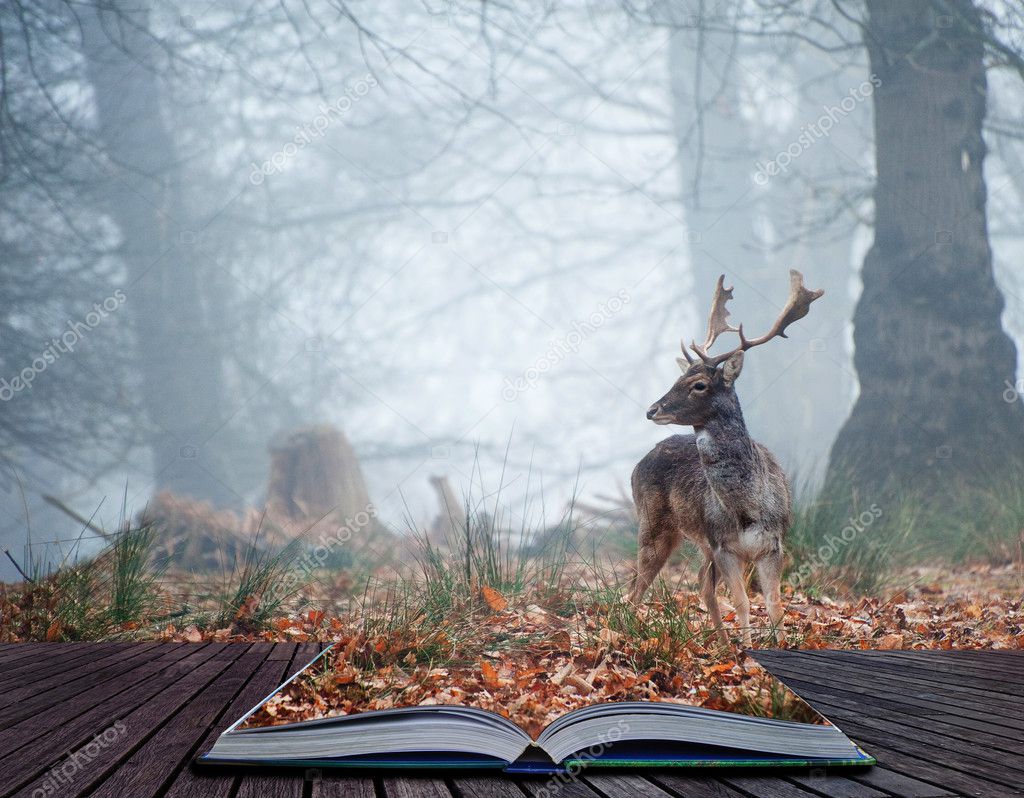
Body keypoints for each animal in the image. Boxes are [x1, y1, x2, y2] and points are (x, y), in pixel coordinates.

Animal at [626, 270, 823, 648]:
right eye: (678, 378)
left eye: (699, 384)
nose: (651, 410)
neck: (748, 509)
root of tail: (638, 463)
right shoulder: (724, 546)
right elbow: (743, 602)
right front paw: (747, 651)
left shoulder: (773, 545)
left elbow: (774, 602)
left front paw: (777, 646)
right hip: (654, 523)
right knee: (636, 584)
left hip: (700, 544)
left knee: (703, 587)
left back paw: (719, 641)